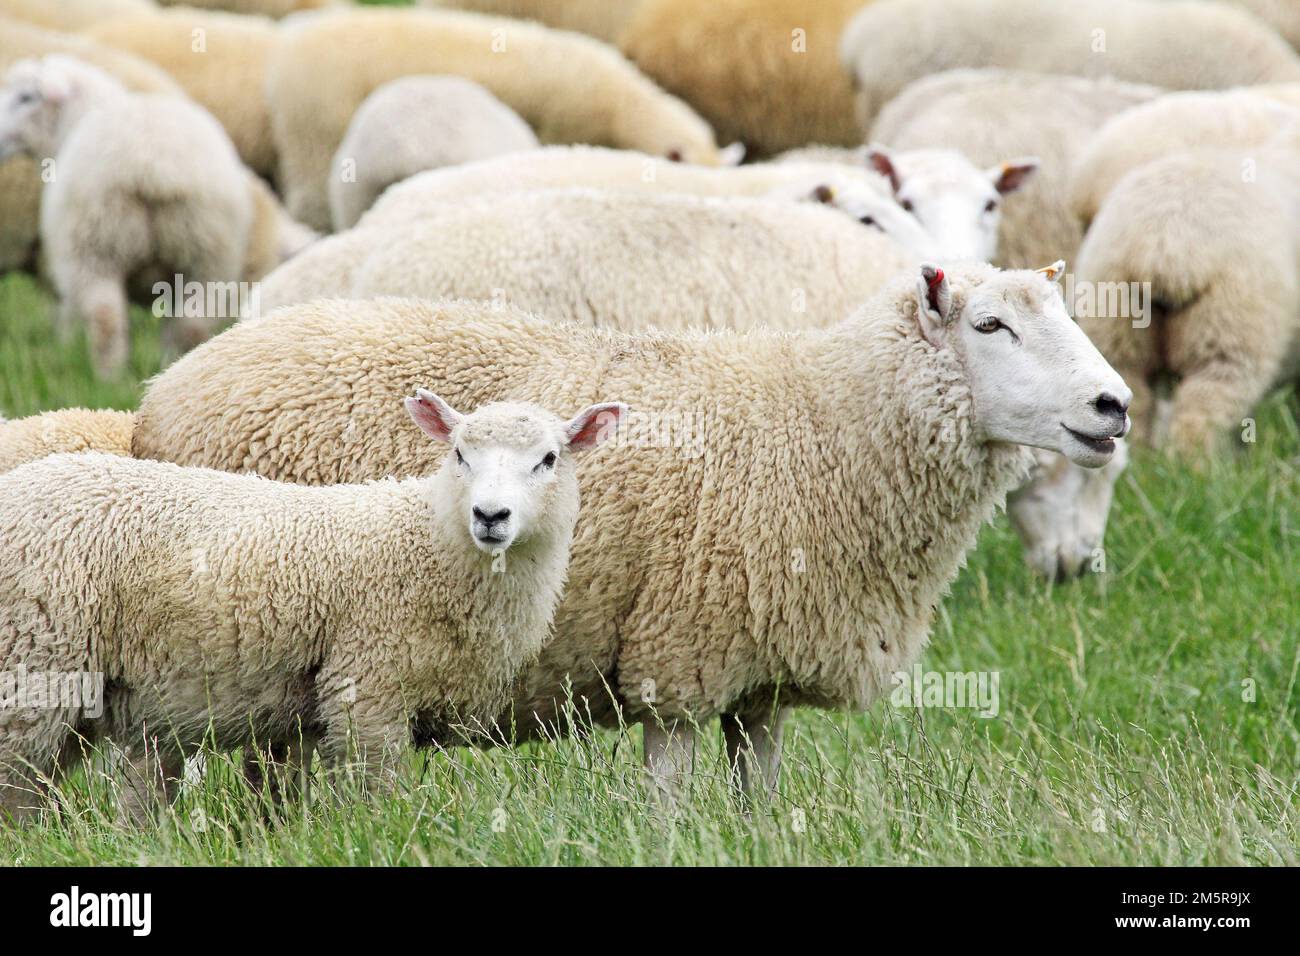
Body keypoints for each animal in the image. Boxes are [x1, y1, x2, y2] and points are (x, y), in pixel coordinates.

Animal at [0, 55, 305, 376]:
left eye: (25, 97)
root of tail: (152, 163)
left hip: (96, 243)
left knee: (106, 318)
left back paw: (108, 378)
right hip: (206, 253)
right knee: (191, 325)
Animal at [130, 263, 1131, 793]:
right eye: (991, 325)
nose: (1112, 405)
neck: (821, 425)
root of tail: (160, 398)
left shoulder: (759, 678)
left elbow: (759, 800)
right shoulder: (681, 658)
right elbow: (670, 803)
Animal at [1074, 133, 1299, 458]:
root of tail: (1166, 246)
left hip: (1116, 325)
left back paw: (1140, 460)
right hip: (1228, 334)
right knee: (1201, 414)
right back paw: (1197, 464)